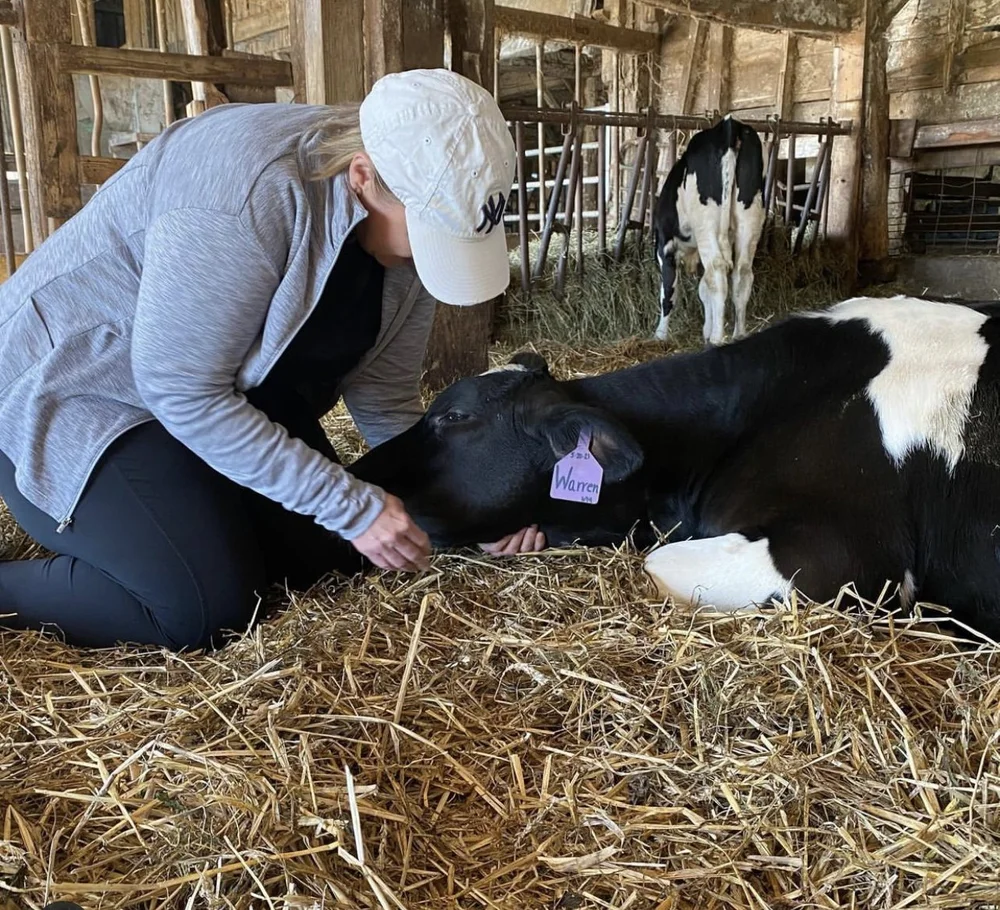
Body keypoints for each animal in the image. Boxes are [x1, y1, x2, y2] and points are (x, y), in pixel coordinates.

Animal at [652, 115, 766, 346]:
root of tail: (729, 125)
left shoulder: (664, 246)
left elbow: (668, 291)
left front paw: (660, 334)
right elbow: (704, 289)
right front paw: (707, 327)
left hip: (707, 225)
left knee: (718, 272)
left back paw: (716, 338)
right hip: (749, 220)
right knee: (742, 273)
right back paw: (738, 334)